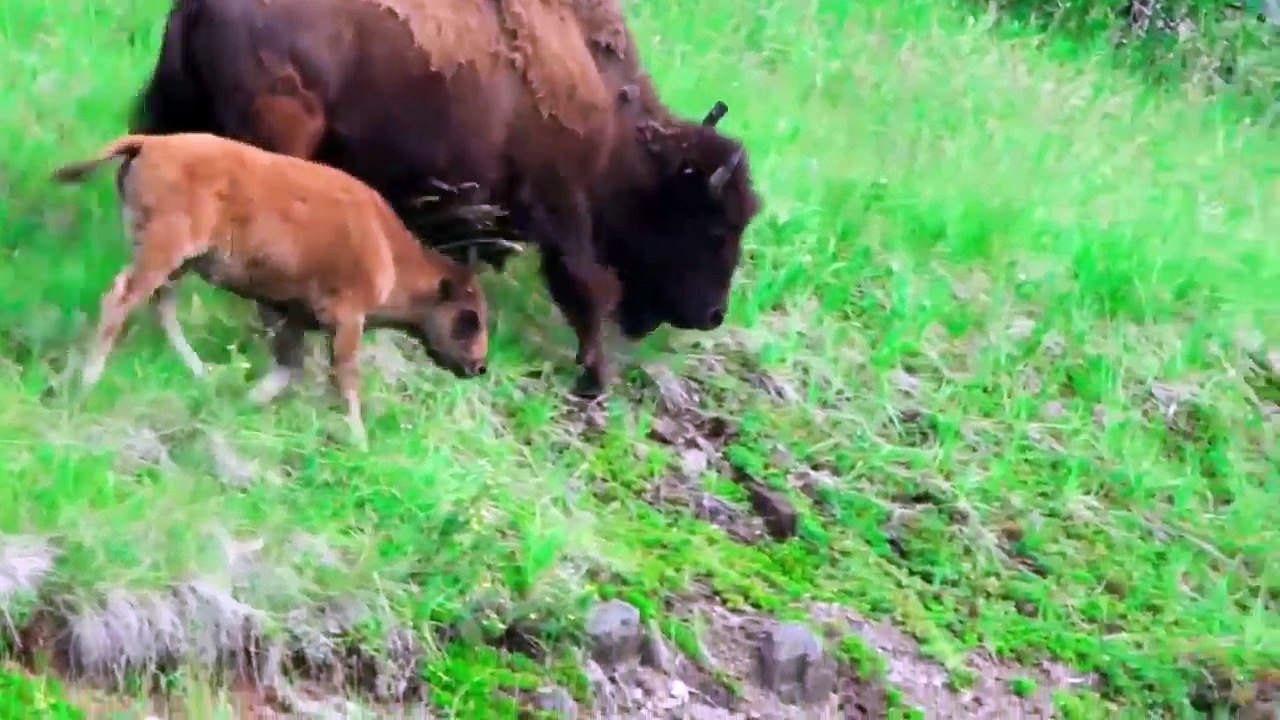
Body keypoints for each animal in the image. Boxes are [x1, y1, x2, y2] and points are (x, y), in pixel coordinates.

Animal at [129, 0, 761, 396]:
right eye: (714, 225)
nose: (713, 314)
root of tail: (202, 6)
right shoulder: (560, 210)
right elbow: (585, 289)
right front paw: (594, 378)